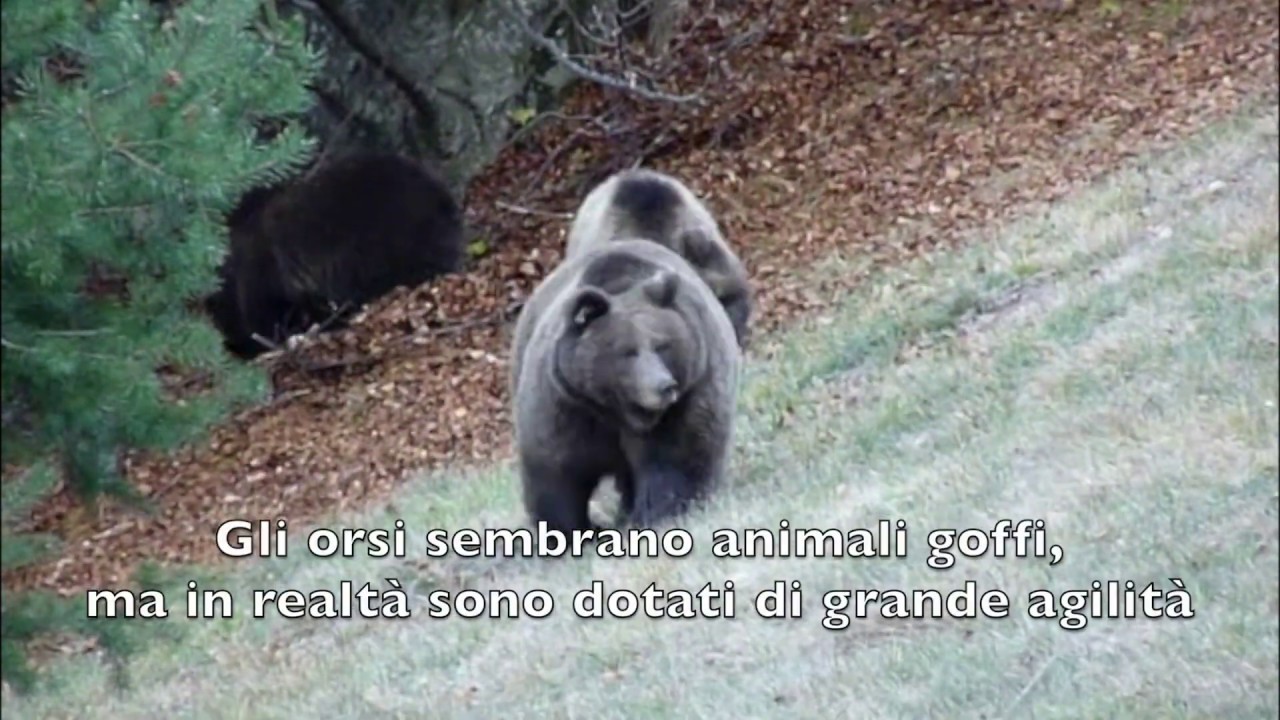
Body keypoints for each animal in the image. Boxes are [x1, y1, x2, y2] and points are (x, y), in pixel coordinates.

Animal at [510, 238, 741, 534]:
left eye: (662, 344)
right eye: (628, 351)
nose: (664, 386)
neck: (618, 409)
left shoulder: (687, 398)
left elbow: (676, 458)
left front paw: (657, 514)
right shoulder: (566, 405)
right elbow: (556, 470)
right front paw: (569, 529)